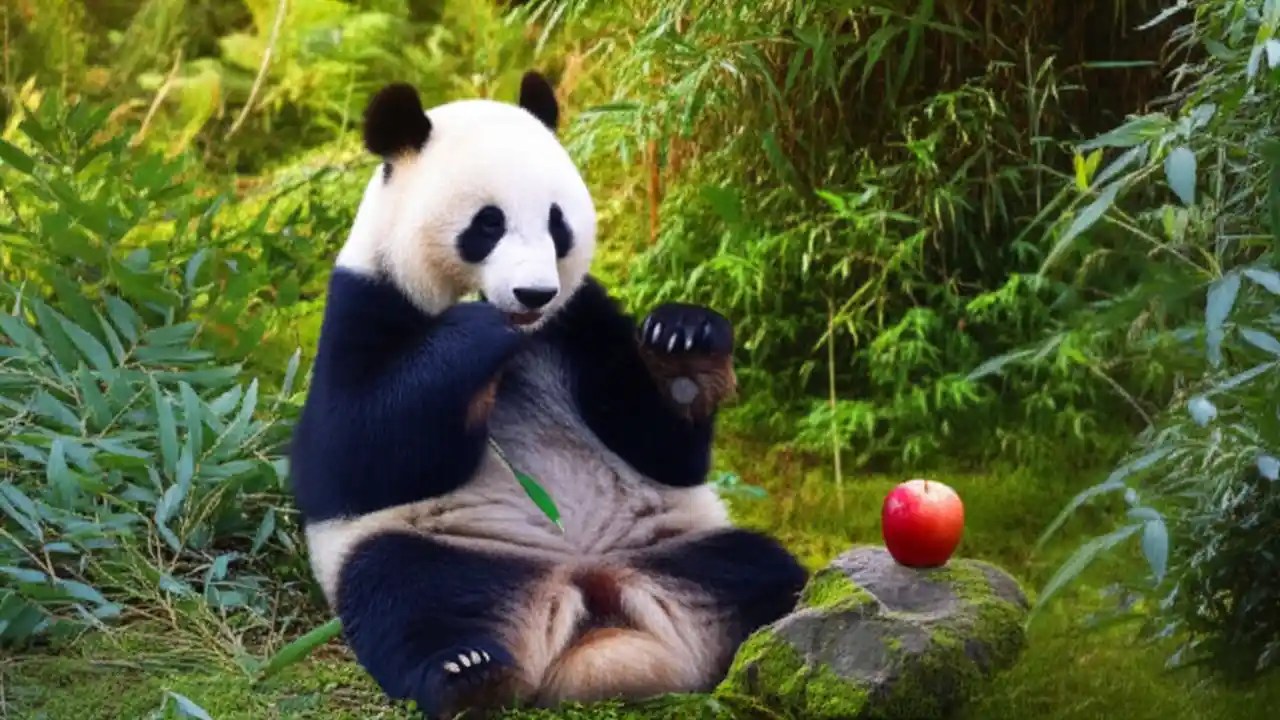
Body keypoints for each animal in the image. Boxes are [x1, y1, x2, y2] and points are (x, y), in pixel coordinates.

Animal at [288, 71, 808, 719]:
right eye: (488, 224)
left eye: (558, 223)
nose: (534, 292)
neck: (525, 337)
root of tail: (591, 587)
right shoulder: (364, 303)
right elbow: (353, 456)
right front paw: (475, 333)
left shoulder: (581, 316)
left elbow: (664, 451)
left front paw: (685, 346)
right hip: (454, 555)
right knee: (403, 591)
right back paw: (469, 672)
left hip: (686, 546)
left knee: (764, 571)